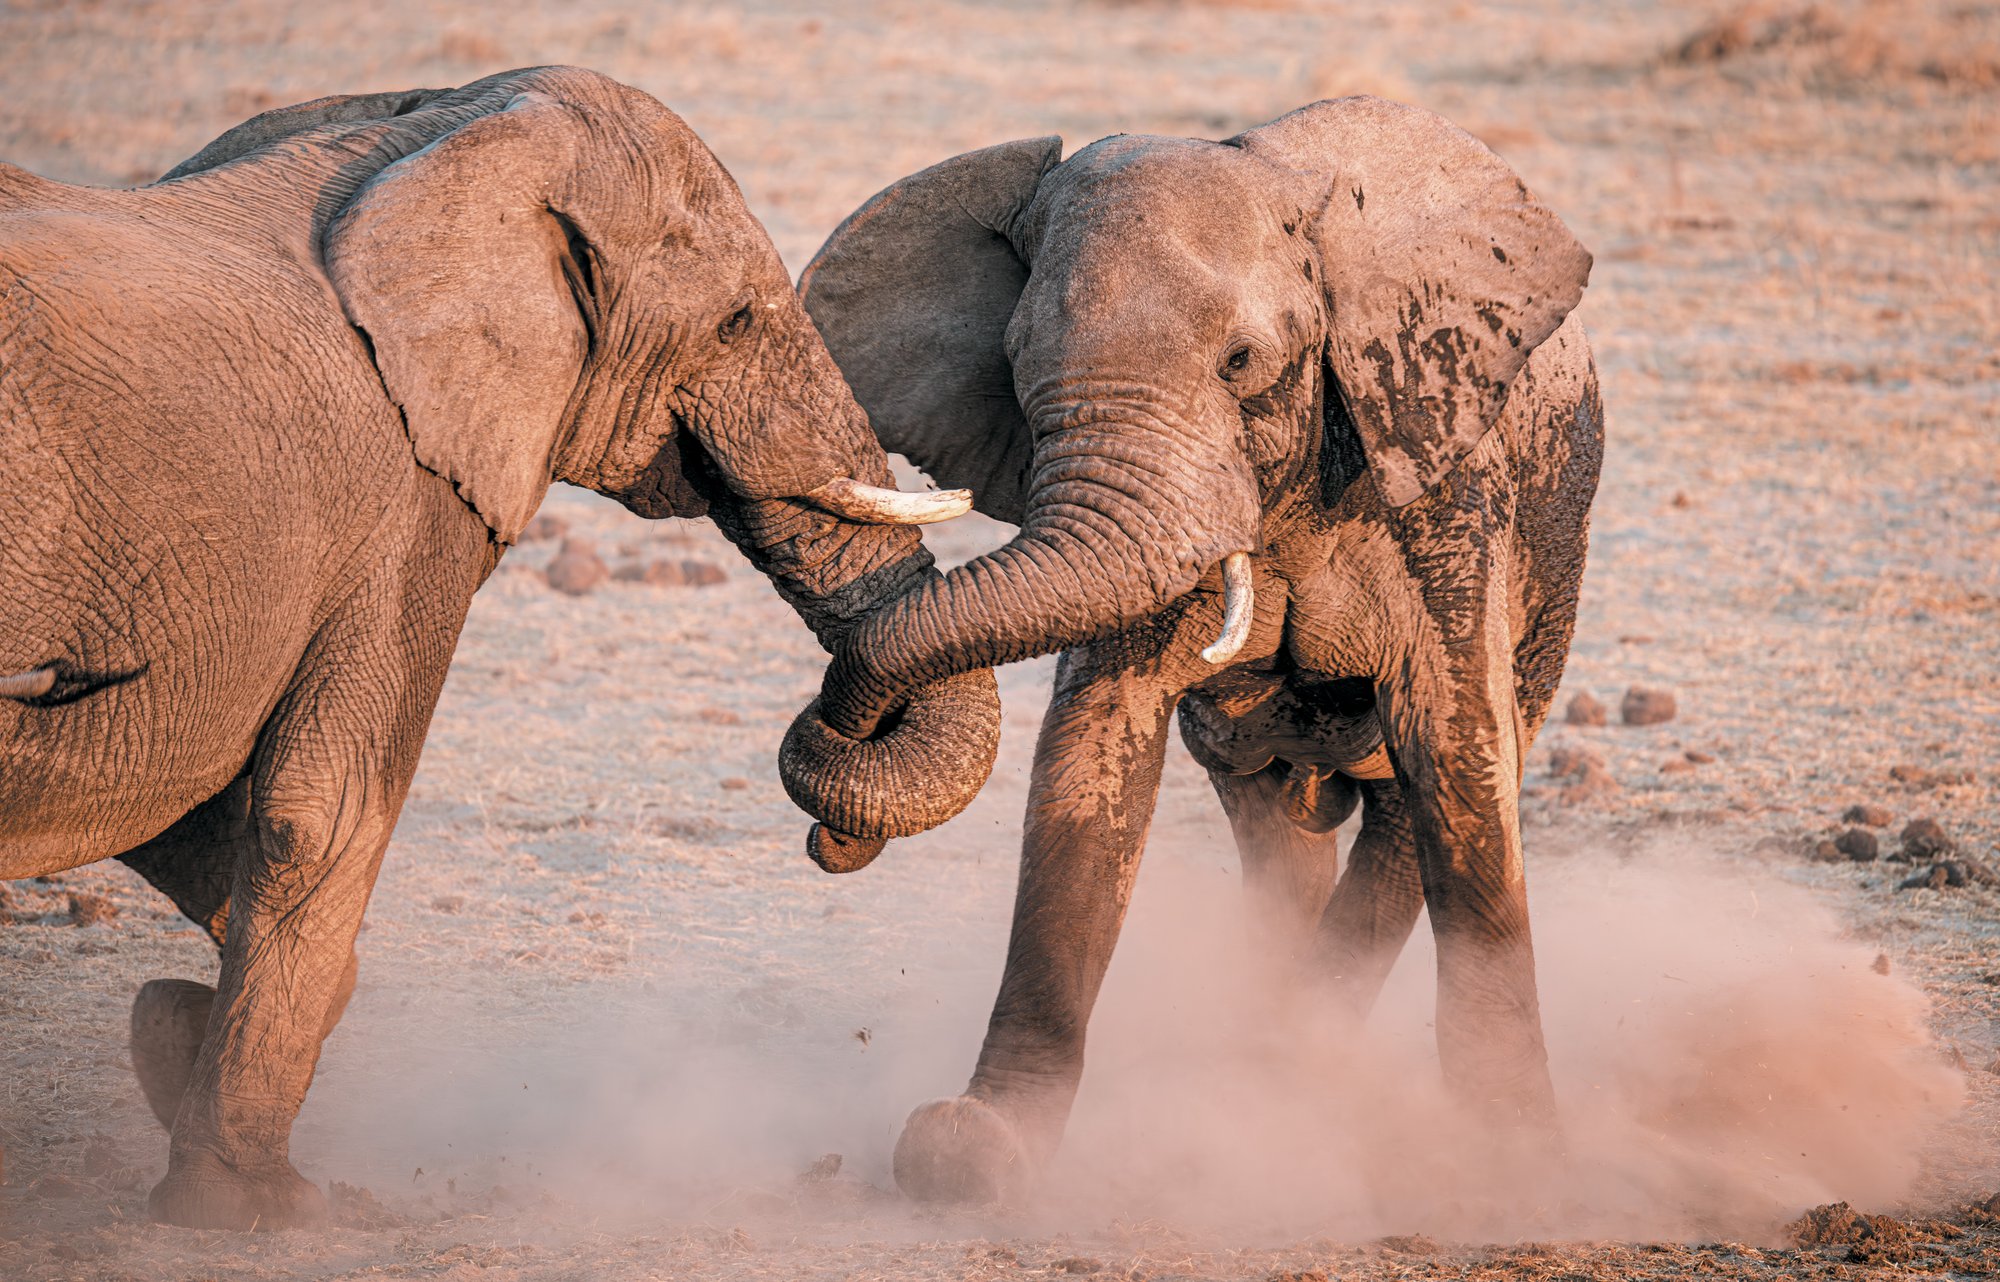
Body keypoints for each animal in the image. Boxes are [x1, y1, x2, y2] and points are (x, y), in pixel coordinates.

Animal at [0, 66, 1002, 1229]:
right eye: (735, 321)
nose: (830, 843)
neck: (434, 131)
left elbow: (171, 798)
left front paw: (170, 1035)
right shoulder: (410, 500)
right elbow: (320, 812)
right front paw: (255, 1204)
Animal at [799, 96, 1602, 1202]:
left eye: (1241, 364)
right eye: (1017, 371)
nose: (835, 844)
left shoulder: (1443, 485)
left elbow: (1456, 754)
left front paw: (1516, 1160)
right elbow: (1092, 752)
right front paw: (978, 1149)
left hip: (1555, 562)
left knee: (1412, 801)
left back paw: (1300, 1058)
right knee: (1271, 822)